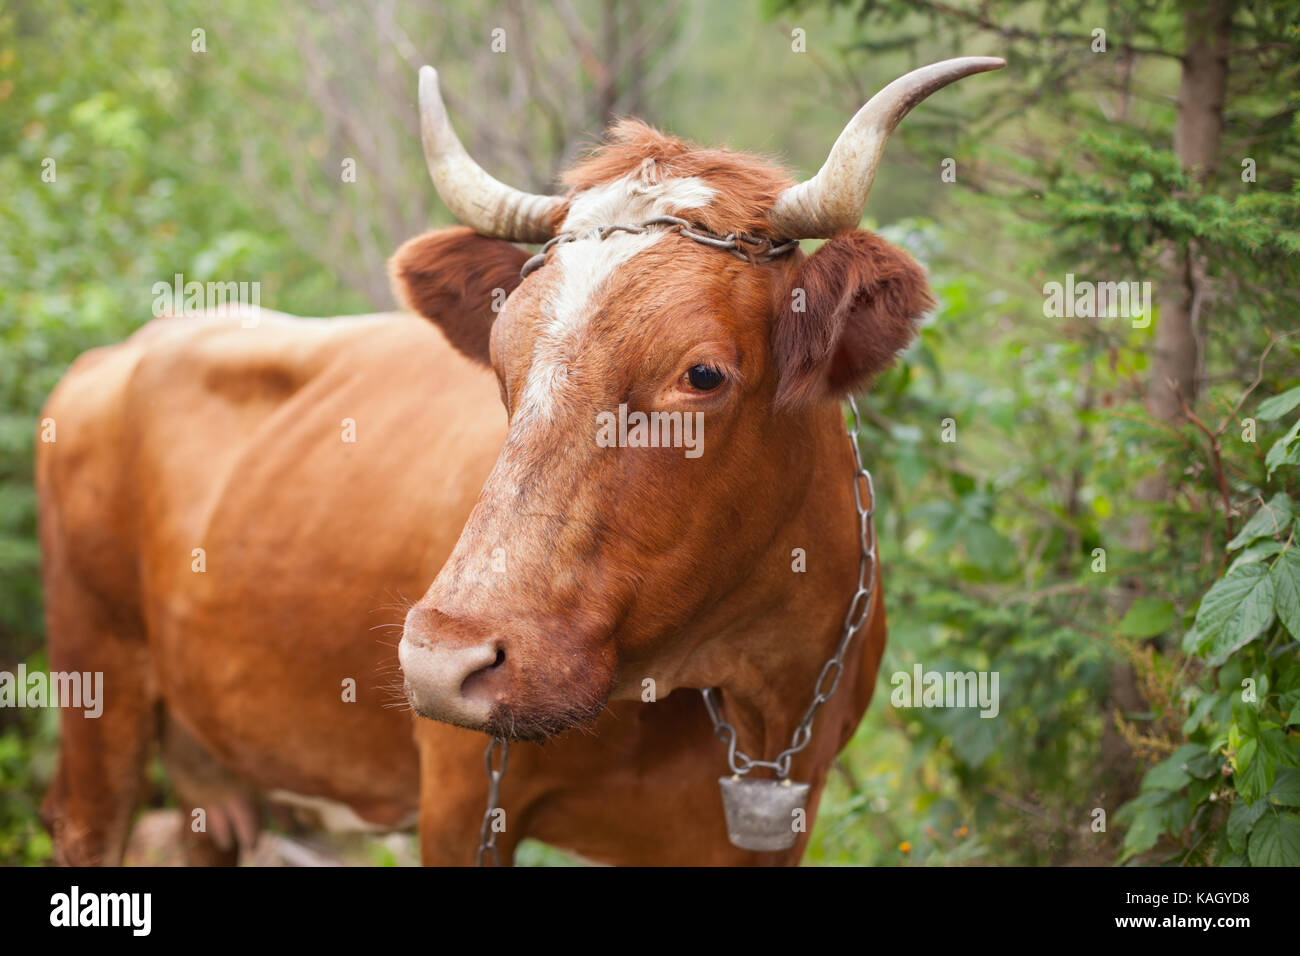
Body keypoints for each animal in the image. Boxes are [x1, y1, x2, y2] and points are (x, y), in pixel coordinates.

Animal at [37, 56, 1001, 866]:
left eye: (702, 374)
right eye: (501, 361)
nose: (441, 662)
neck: (751, 688)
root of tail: (123, 351)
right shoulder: (463, 803)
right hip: (99, 701)